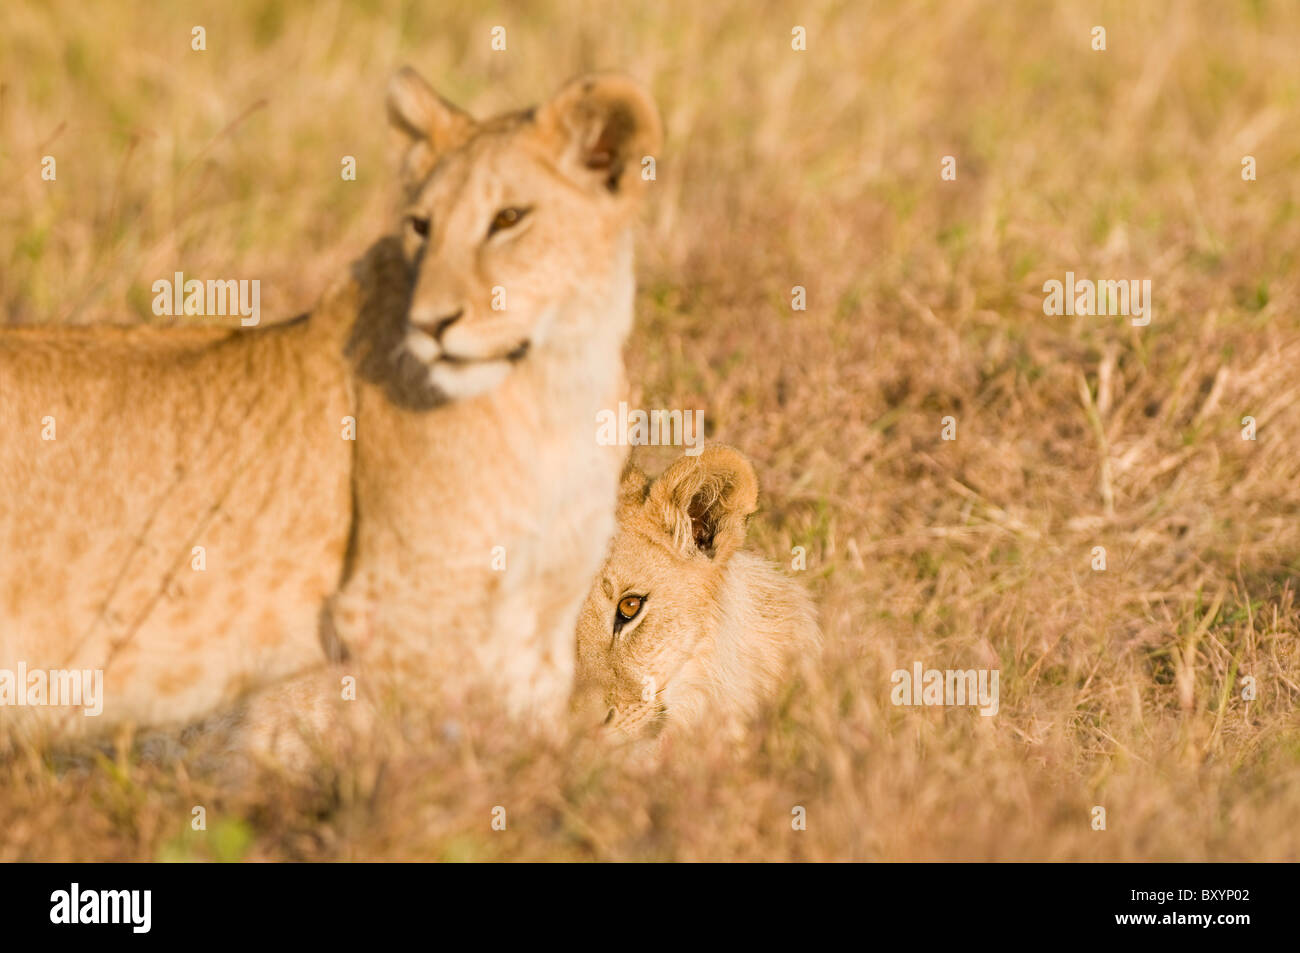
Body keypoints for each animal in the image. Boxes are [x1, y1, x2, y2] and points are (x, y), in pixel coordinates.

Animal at [0, 68, 661, 740]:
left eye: (508, 218)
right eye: (421, 226)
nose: (430, 324)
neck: (558, 384)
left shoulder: (542, 616)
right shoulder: (400, 613)